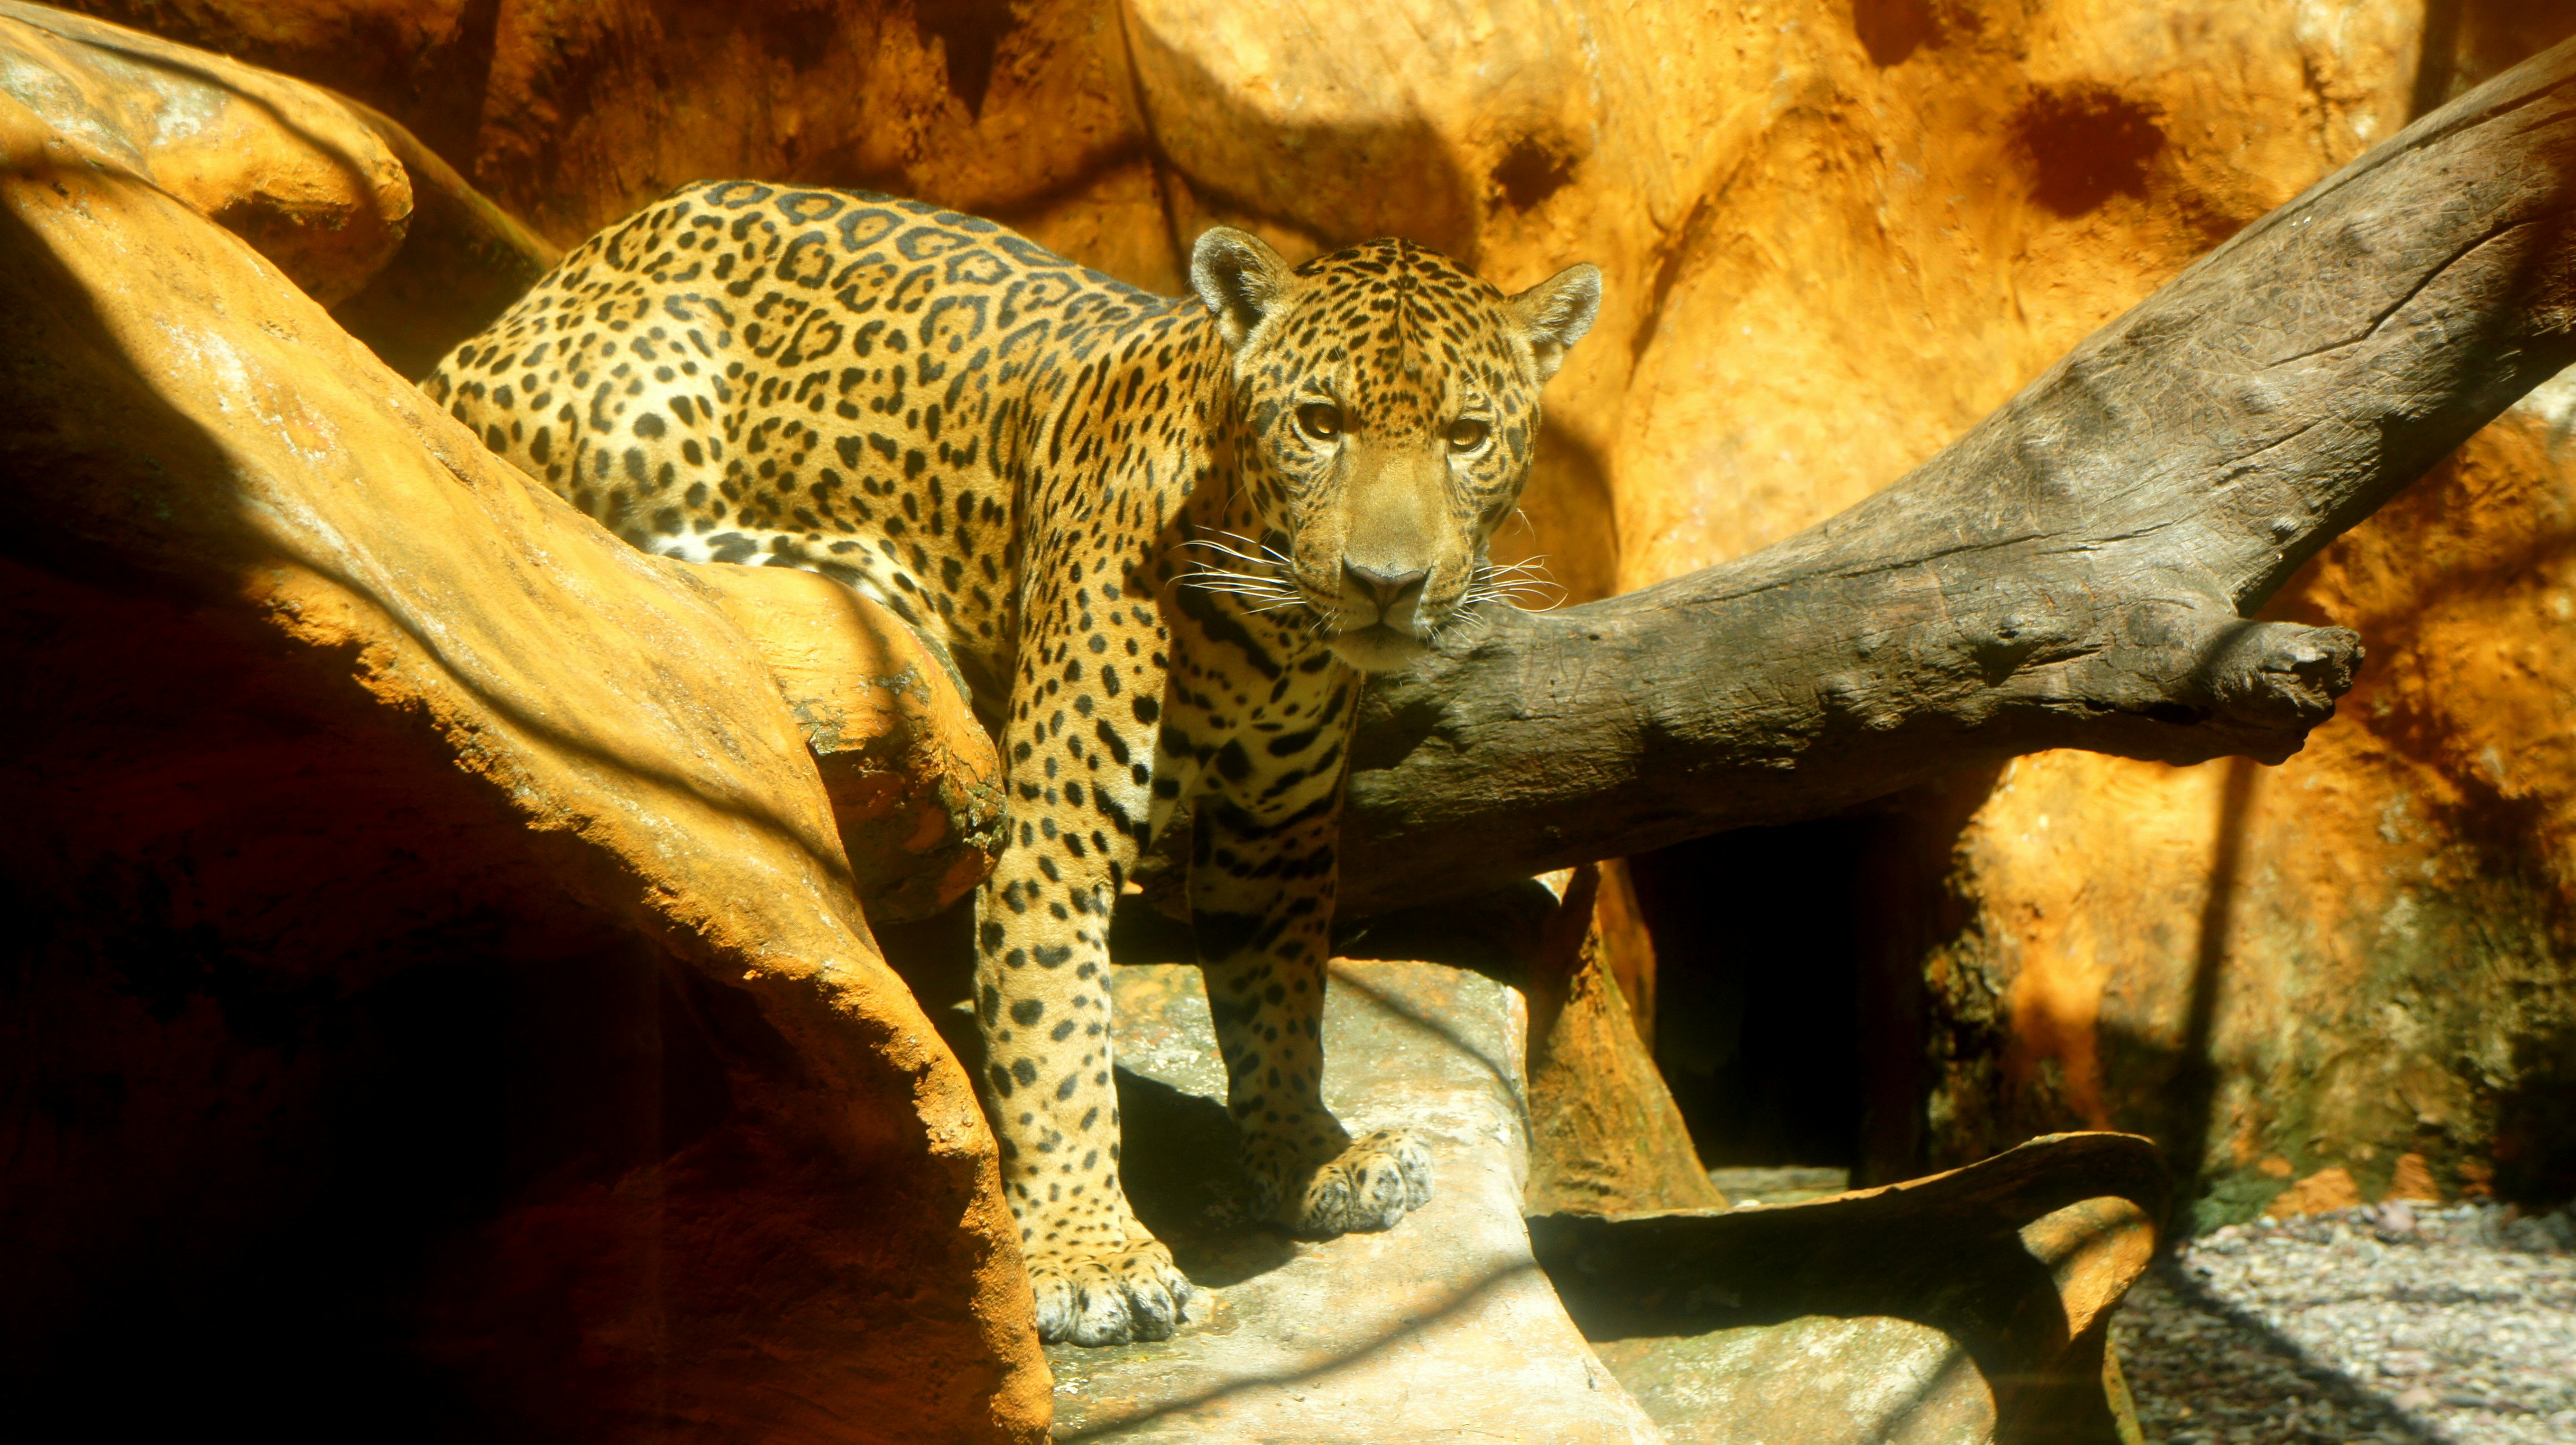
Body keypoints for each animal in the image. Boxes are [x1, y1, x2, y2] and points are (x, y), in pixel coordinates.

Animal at [421, 179, 1600, 1346]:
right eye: (1319, 423)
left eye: (1465, 436)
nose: (1386, 585)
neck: (1271, 634)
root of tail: (575, 262)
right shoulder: (1054, 846)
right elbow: (1059, 1043)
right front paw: (1089, 1254)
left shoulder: (1278, 842)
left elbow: (1281, 1004)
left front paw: (1308, 1151)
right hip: (633, 411)